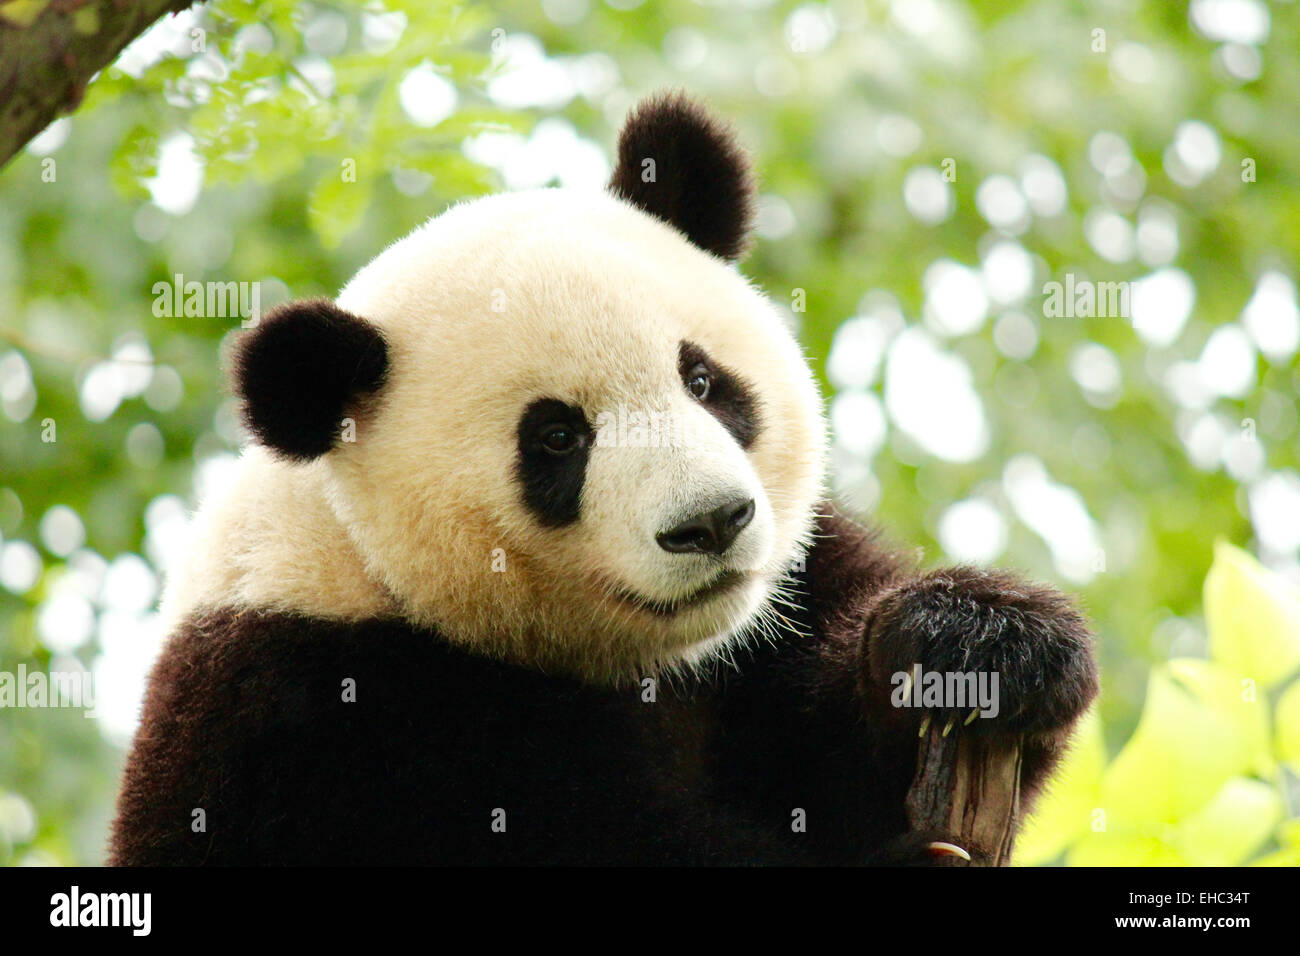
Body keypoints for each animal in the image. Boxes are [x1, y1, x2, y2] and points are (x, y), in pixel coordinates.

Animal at [110, 93, 1098, 866]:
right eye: (556, 438)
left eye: (701, 380)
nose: (713, 523)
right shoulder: (305, 706)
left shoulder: (782, 606)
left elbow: (833, 759)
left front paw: (975, 641)